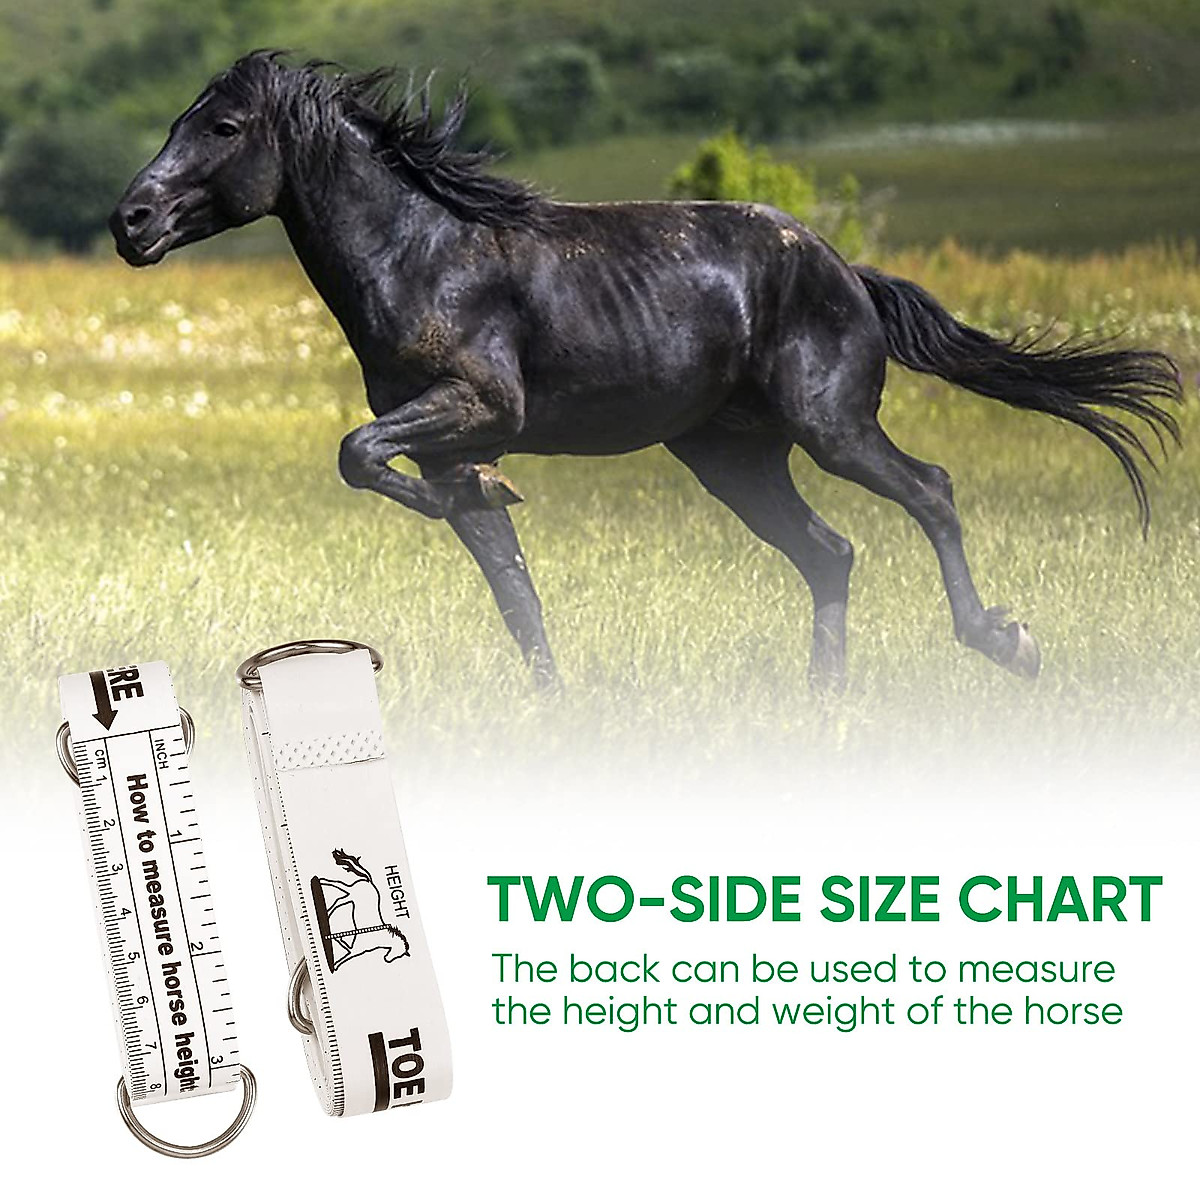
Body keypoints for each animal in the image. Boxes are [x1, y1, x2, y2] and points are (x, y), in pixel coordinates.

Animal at [110, 51, 1182, 691]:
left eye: (222, 128)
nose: (131, 222)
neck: (423, 254)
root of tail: (846, 271)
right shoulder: (448, 440)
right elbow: (505, 581)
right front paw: (546, 688)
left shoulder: (479, 406)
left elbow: (357, 453)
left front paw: (494, 499)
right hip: (732, 458)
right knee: (830, 552)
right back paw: (823, 698)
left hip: (832, 427)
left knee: (931, 491)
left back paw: (1003, 642)